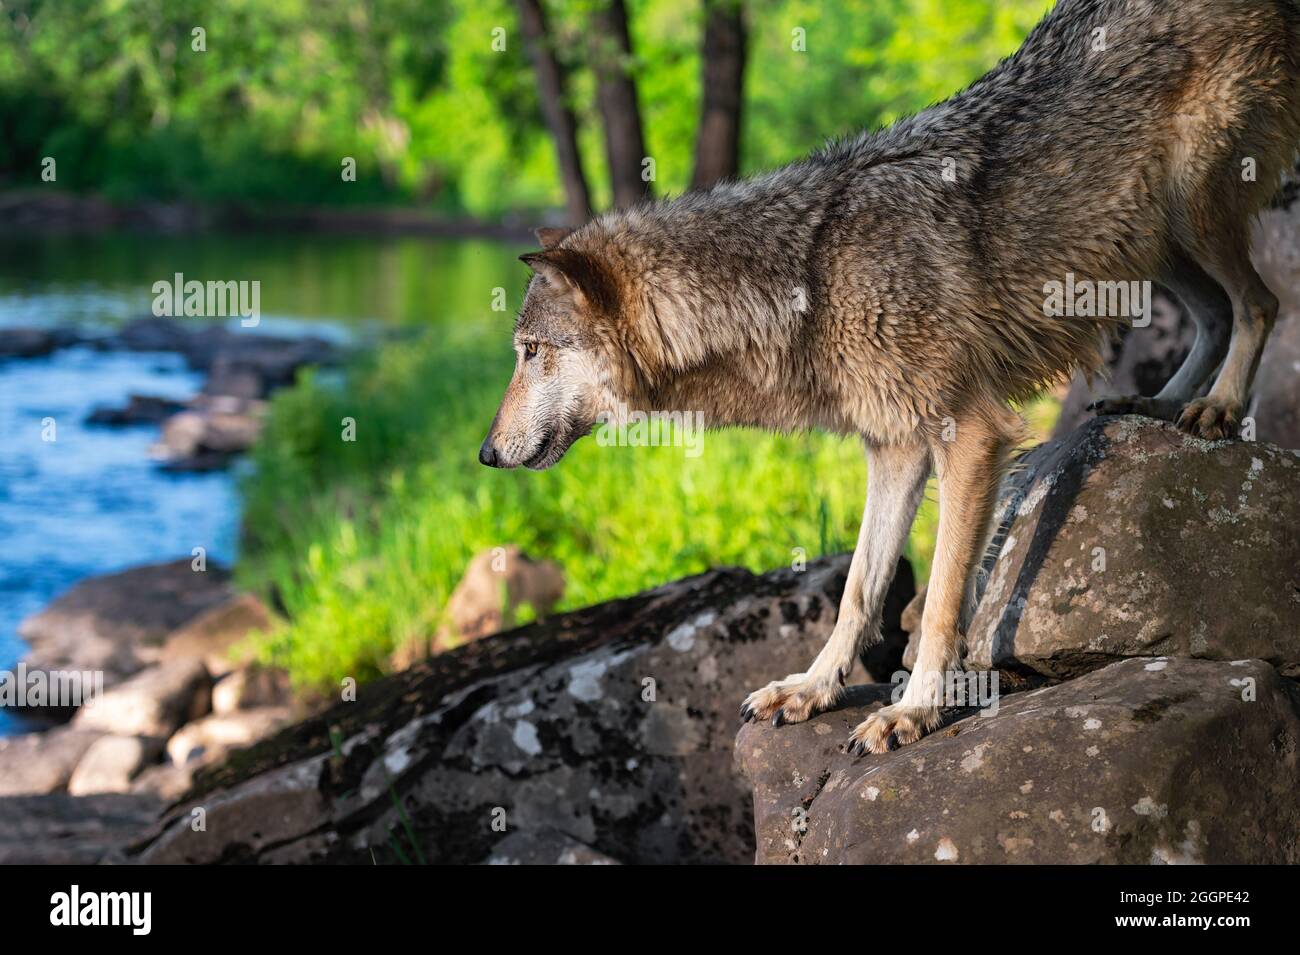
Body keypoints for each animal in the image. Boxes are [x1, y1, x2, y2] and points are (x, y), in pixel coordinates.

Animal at [480, 0, 1300, 753]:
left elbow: (938, 601)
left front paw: (914, 710)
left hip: (1187, 210)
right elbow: (857, 589)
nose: (485, 454)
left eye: (529, 351)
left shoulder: (969, 435)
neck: (807, 277)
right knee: (1219, 312)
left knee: (1259, 302)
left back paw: (1218, 408)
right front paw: (813, 688)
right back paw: (1160, 402)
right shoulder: (895, 448)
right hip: (1146, 240)